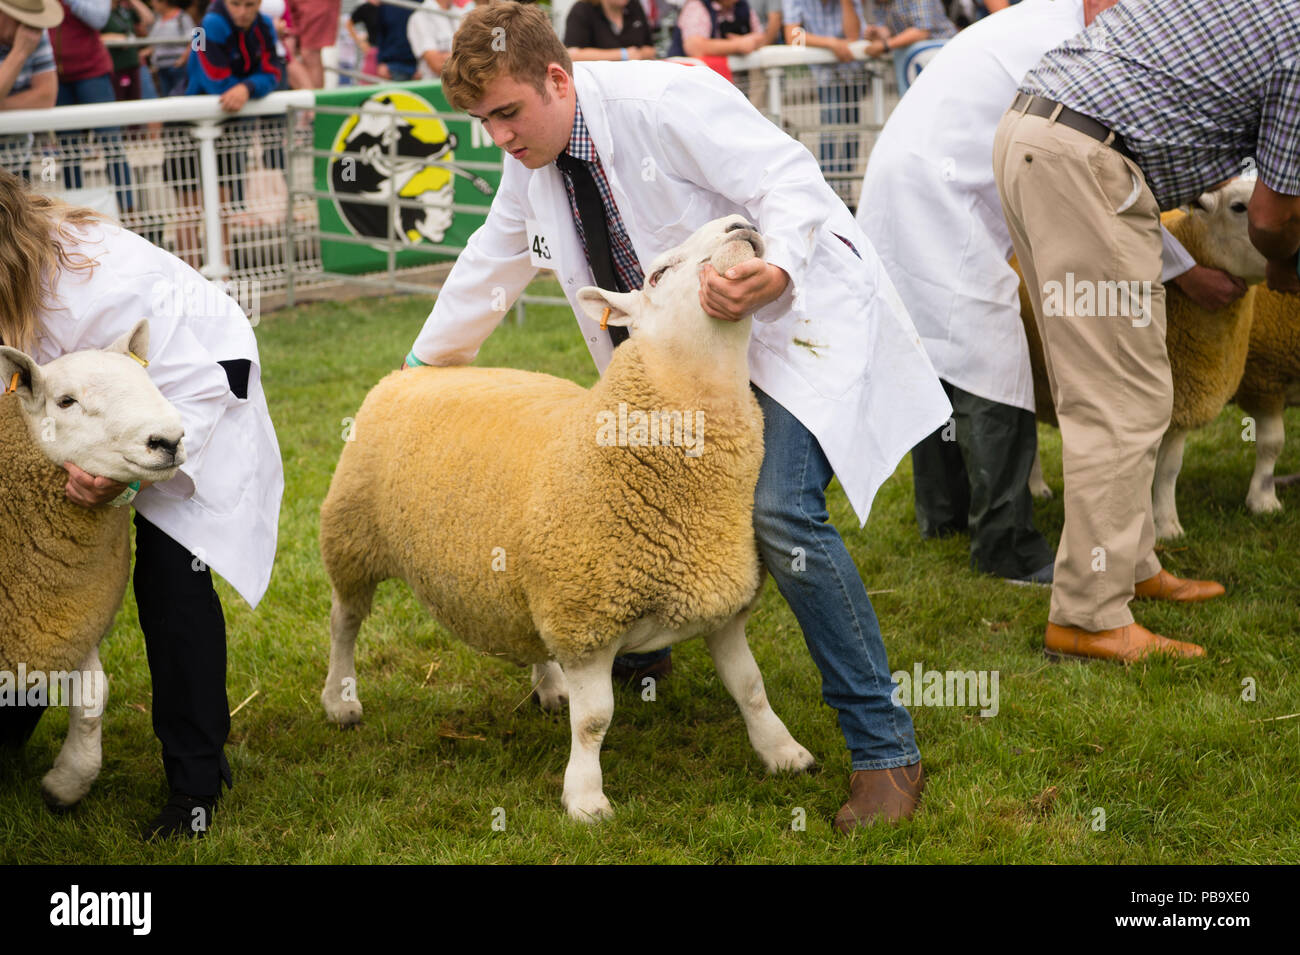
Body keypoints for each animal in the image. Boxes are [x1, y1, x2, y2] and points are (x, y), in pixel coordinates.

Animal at [319, 215, 816, 822]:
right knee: (344, 622)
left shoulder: (720, 605)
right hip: (351, 535)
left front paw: (783, 752)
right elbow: (596, 719)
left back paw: (548, 686)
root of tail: (408, 373)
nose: (738, 223)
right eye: (657, 274)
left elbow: (751, 687)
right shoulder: (586, 618)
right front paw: (585, 798)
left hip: (517, 581)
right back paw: (340, 699)